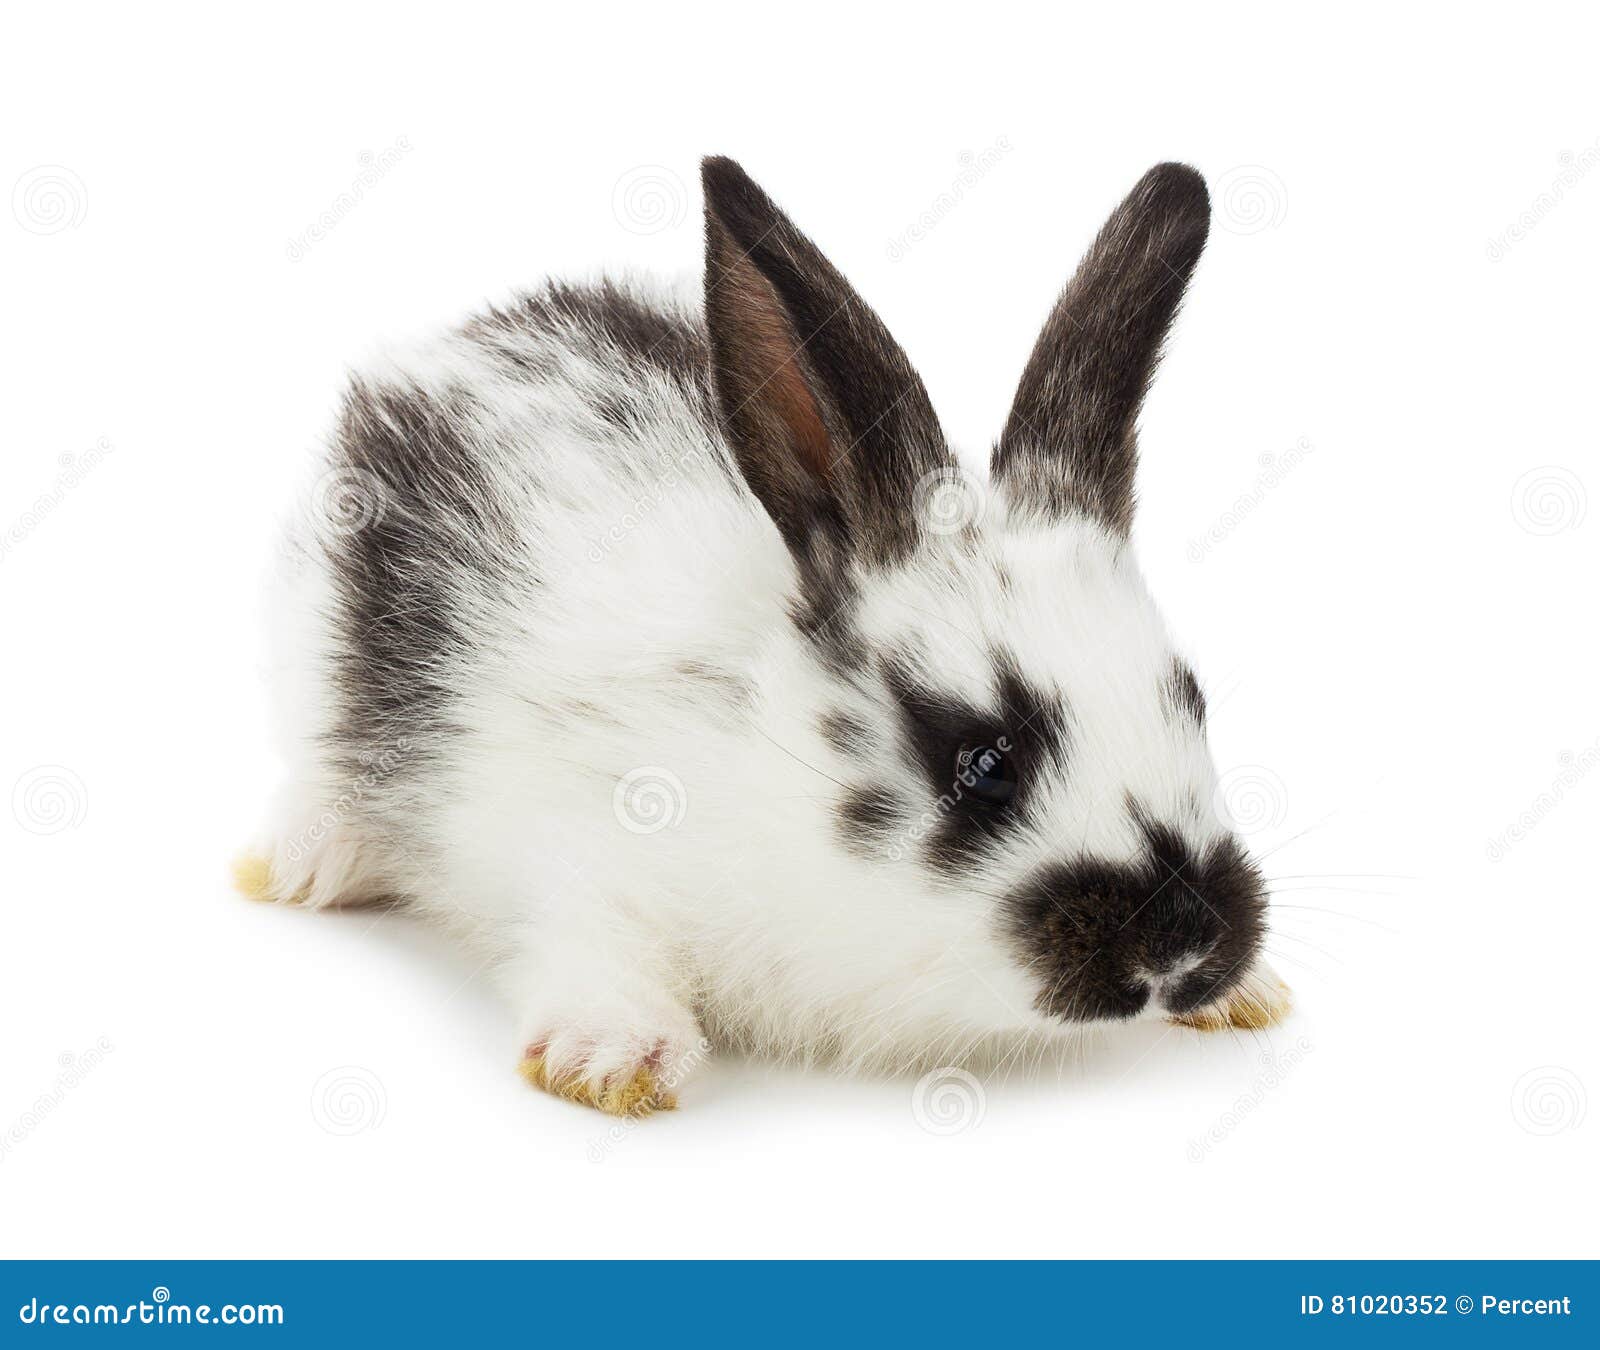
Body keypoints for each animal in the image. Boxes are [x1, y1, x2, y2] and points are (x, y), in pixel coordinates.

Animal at [239, 156, 1290, 1116]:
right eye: (983, 761)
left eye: (1192, 701)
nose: (1186, 944)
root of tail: (457, 341)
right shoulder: (580, 851)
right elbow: (589, 937)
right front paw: (613, 1061)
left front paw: (1251, 998)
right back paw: (303, 865)